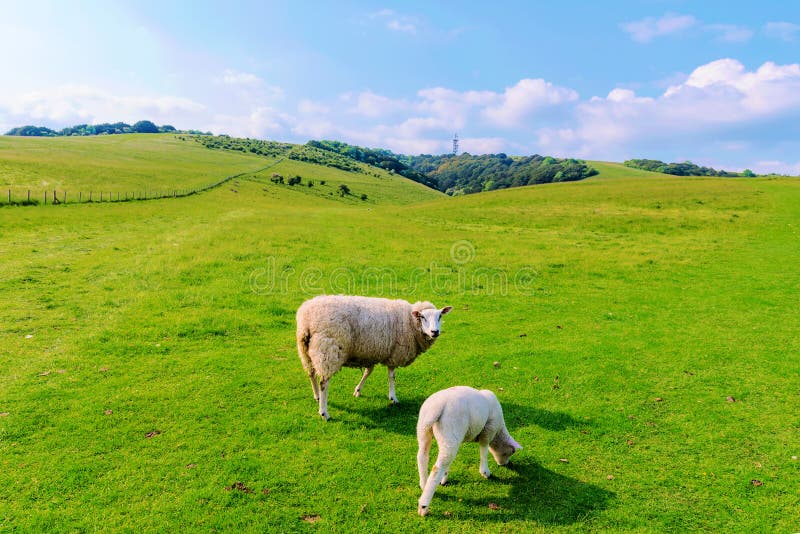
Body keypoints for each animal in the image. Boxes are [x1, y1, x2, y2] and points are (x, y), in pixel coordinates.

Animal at [296, 295, 453, 420]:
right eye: (422, 317)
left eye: (440, 316)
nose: (435, 332)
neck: (409, 322)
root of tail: (307, 318)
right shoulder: (394, 354)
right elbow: (392, 376)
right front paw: (393, 398)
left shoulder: (370, 353)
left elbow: (368, 371)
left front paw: (358, 390)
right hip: (328, 351)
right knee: (324, 382)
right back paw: (324, 412)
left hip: (305, 350)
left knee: (311, 373)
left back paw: (317, 396)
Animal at [416, 386, 522, 516]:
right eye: (511, 452)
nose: (505, 464)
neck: (498, 432)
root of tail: (436, 407)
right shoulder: (488, 429)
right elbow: (484, 450)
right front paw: (485, 472)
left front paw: (444, 478)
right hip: (451, 431)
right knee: (437, 468)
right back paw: (423, 506)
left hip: (424, 430)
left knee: (422, 456)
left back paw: (424, 485)